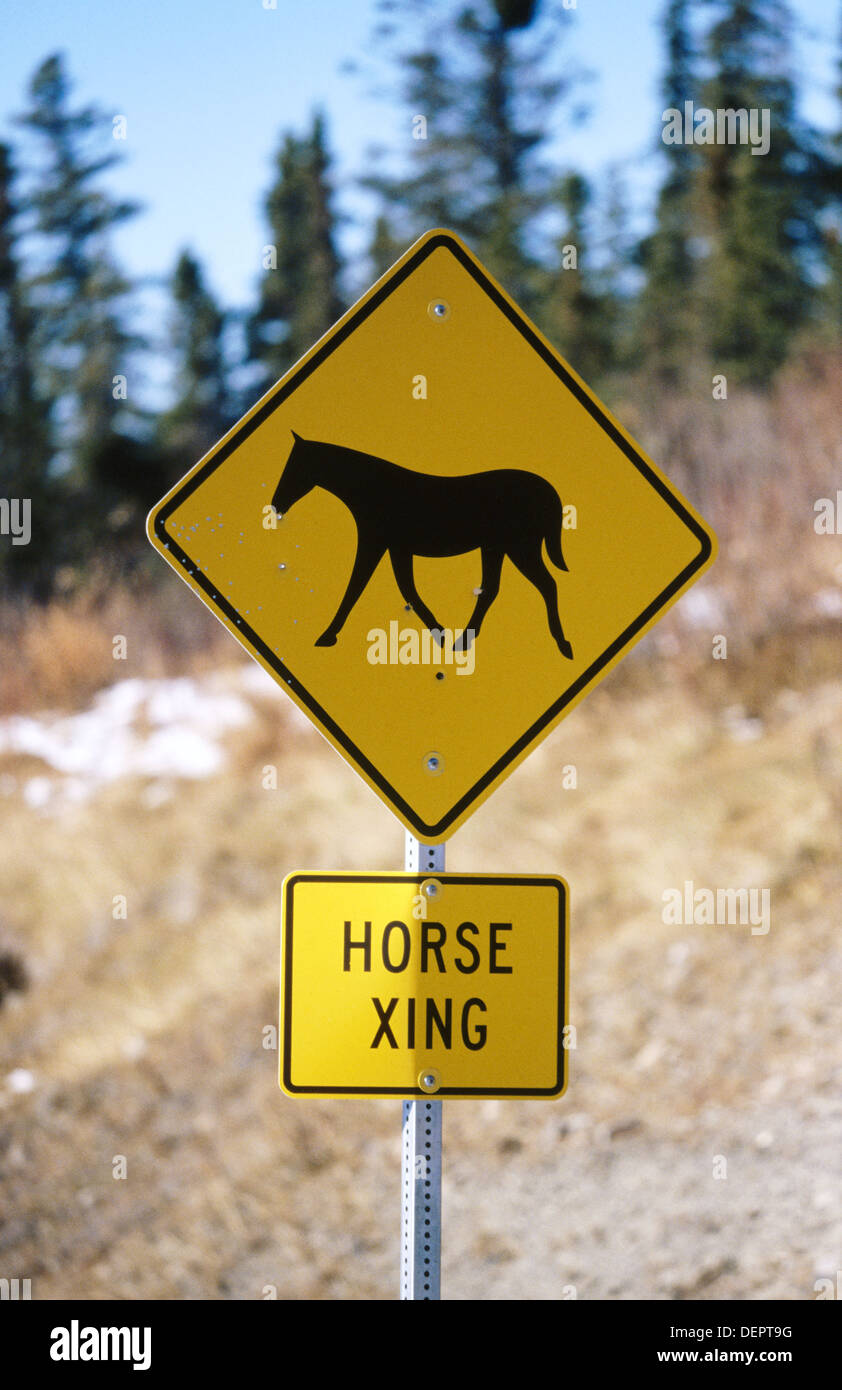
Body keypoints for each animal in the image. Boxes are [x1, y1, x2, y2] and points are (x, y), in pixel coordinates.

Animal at [271, 431, 573, 658]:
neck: (369, 488)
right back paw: (463, 641)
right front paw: (440, 633)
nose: (275, 504)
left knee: (547, 585)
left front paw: (327, 635)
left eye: (294, 466)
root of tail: (548, 491)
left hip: (520, 547)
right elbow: (405, 588)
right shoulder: (396, 547)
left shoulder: (377, 541)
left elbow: (359, 586)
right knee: (492, 589)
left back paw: (563, 644)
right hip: (497, 547)